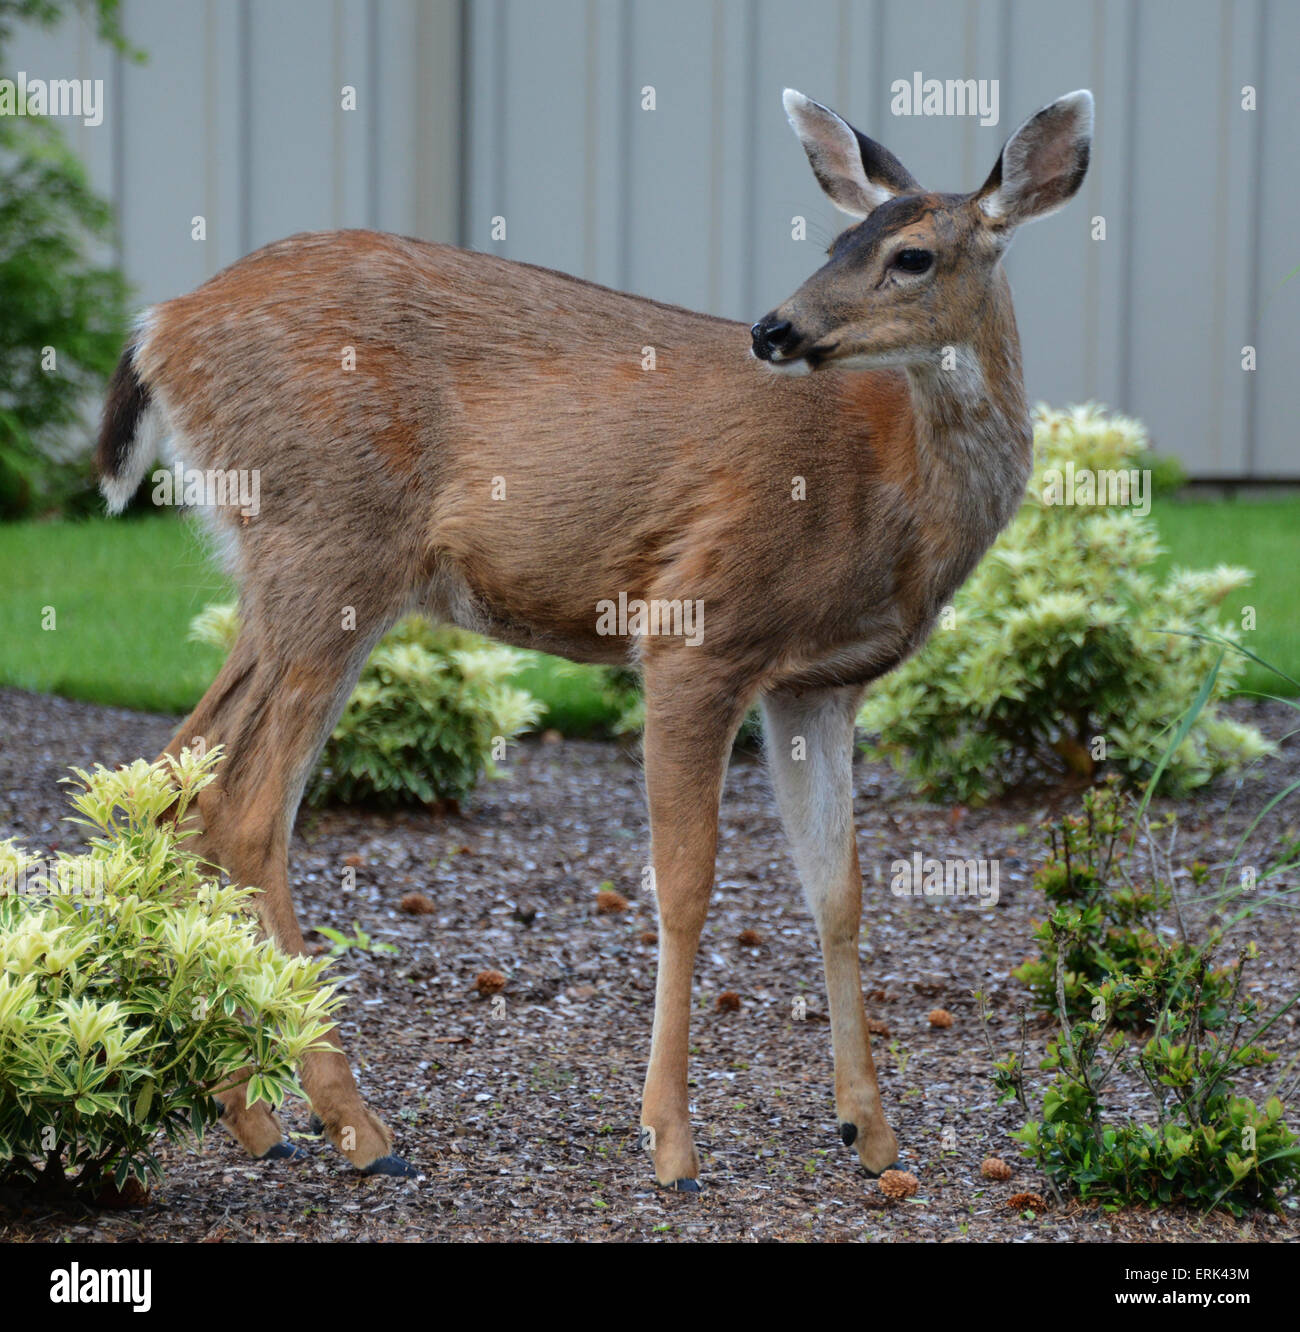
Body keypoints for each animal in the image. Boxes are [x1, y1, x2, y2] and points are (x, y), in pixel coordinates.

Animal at [96, 86, 1092, 1190]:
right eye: (838, 237)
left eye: (910, 254)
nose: (776, 329)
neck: (895, 492)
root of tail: (160, 327)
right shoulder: (696, 627)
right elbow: (686, 883)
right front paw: (671, 1141)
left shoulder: (820, 685)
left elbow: (838, 891)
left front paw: (870, 1134)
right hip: (331, 546)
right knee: (244, 808)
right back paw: (356, 1126)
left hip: (275, 576)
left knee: (177, 773)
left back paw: (250, 1111)